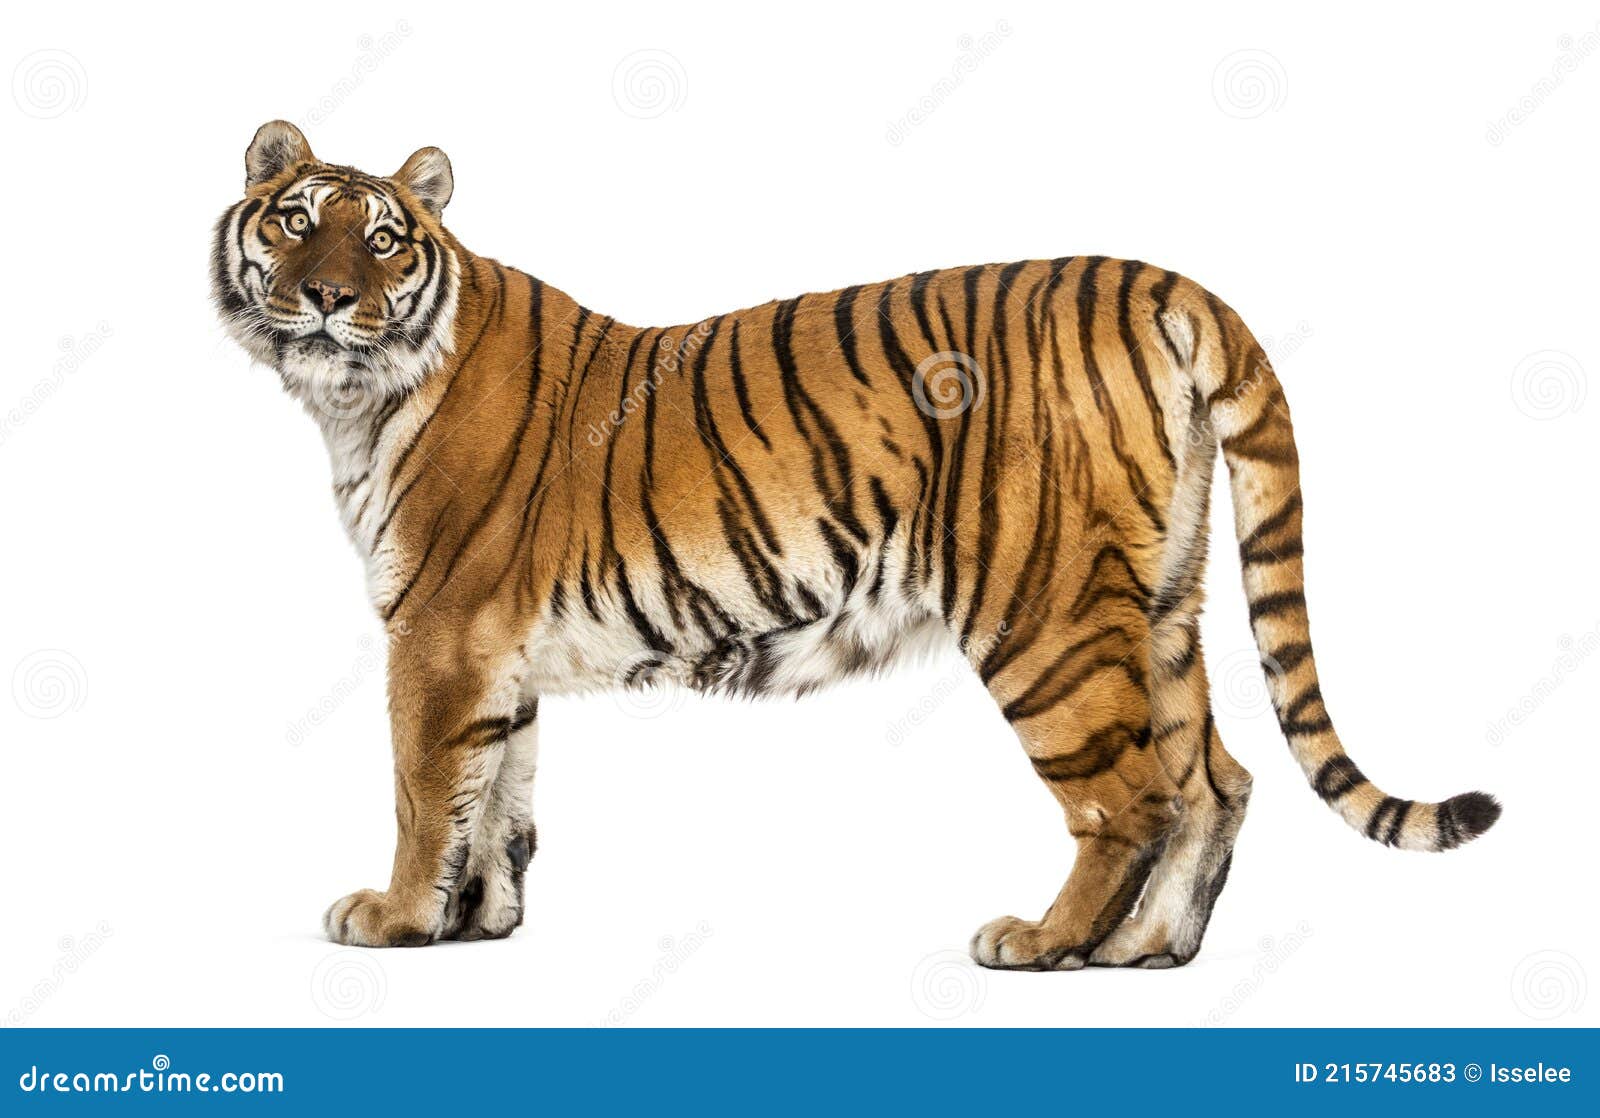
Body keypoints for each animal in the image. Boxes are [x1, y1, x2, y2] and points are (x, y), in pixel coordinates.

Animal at [212, 120, 1500, 967]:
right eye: (296, 221)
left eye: (384, 239)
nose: (325, 296)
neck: (353, 396)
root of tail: (1159, 281)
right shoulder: (497, 653)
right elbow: (498, 793)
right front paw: (476, 924)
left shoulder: (437, 635)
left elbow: (424, 789)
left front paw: (392, 919)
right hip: (1163, 601)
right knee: (1214, 779)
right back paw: (1148, 948)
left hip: (1044, 615)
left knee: (1131, 794)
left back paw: (1044, 939)